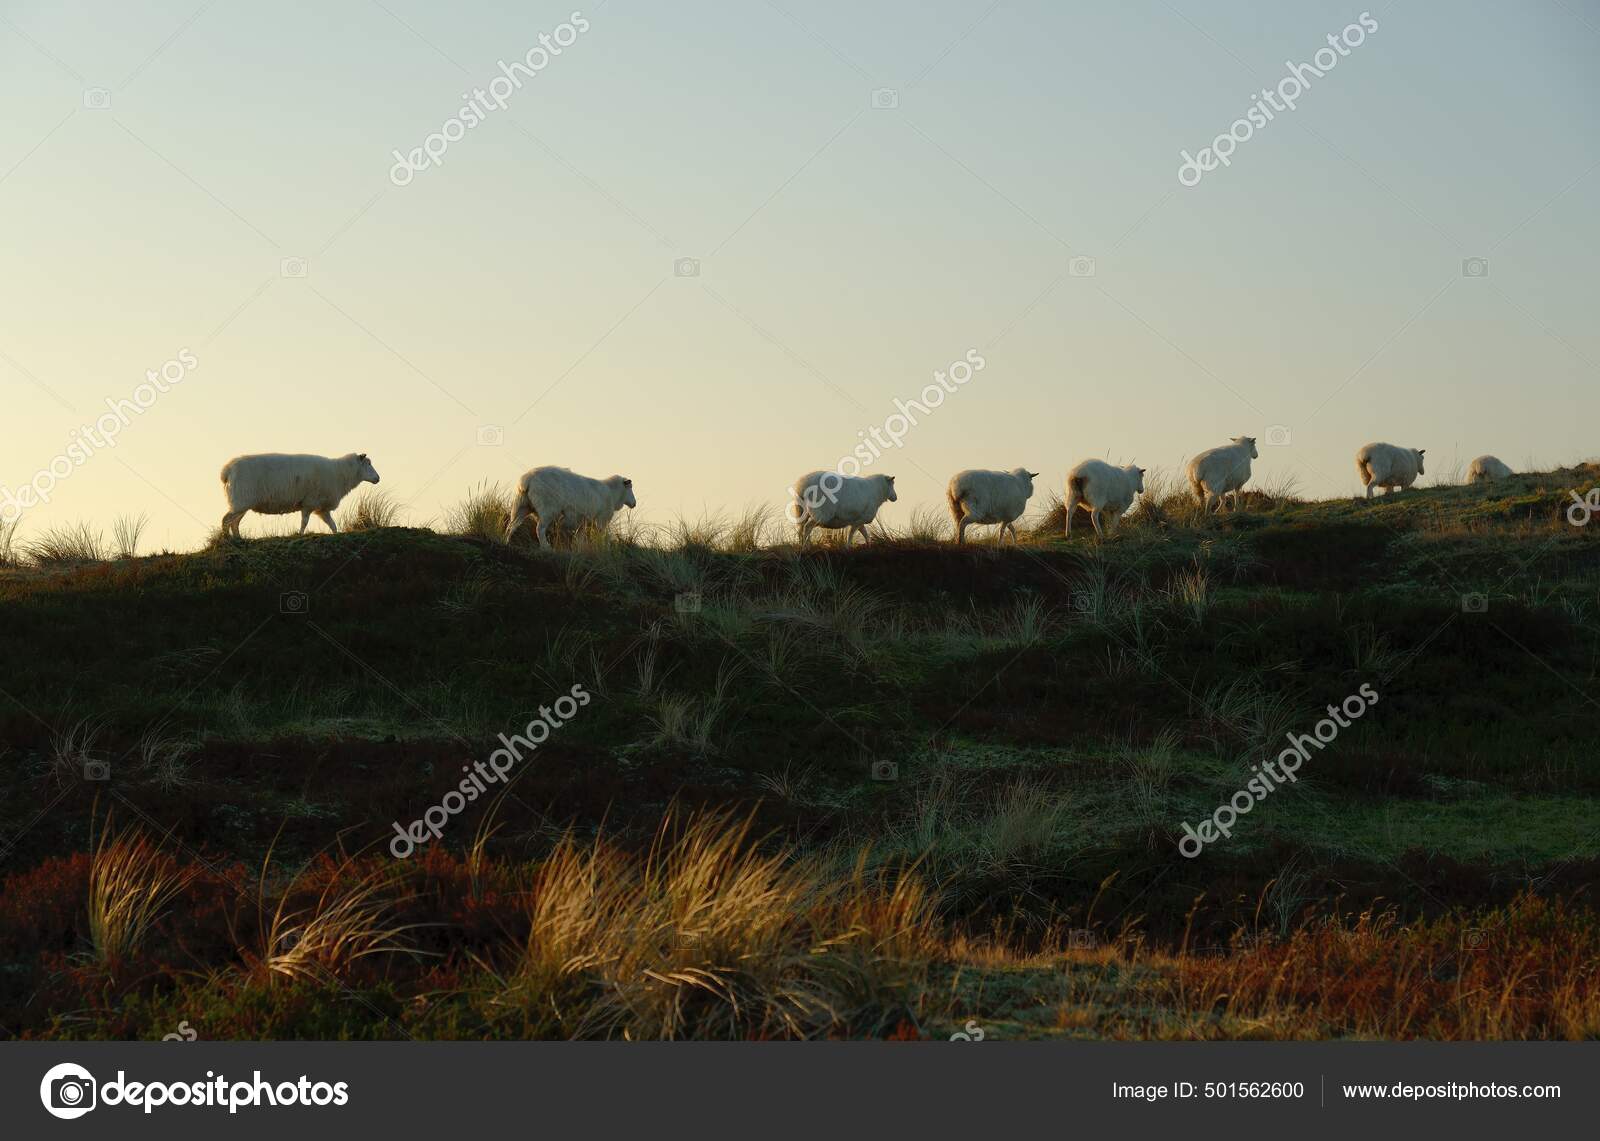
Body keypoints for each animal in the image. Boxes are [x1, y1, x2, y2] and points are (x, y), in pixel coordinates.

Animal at [219, 452, 379, 537]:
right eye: (368, 464)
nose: (378, 478)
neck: (340, 473)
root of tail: (227, 470)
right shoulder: (309, 502)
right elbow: (304, 522)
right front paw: (300, 534)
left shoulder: (322, 509)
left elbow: (333, 525)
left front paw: (336, 534)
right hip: (241, 501)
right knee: (226, 520)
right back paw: (227, 539)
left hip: (241, 503)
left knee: (234, 522)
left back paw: (238, 539)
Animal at [504, 465, 636, 548]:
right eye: (630, 487)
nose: (634, 503)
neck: (612, 493)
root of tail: (527, 479)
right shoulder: (601, 520)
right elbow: (605, 537)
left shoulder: (583, 522)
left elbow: (580, 538)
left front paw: (580, 550)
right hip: (548, 508)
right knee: (539, 528)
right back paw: (546, 547)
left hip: (521, 505)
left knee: (512, 525)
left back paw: (506, 540)